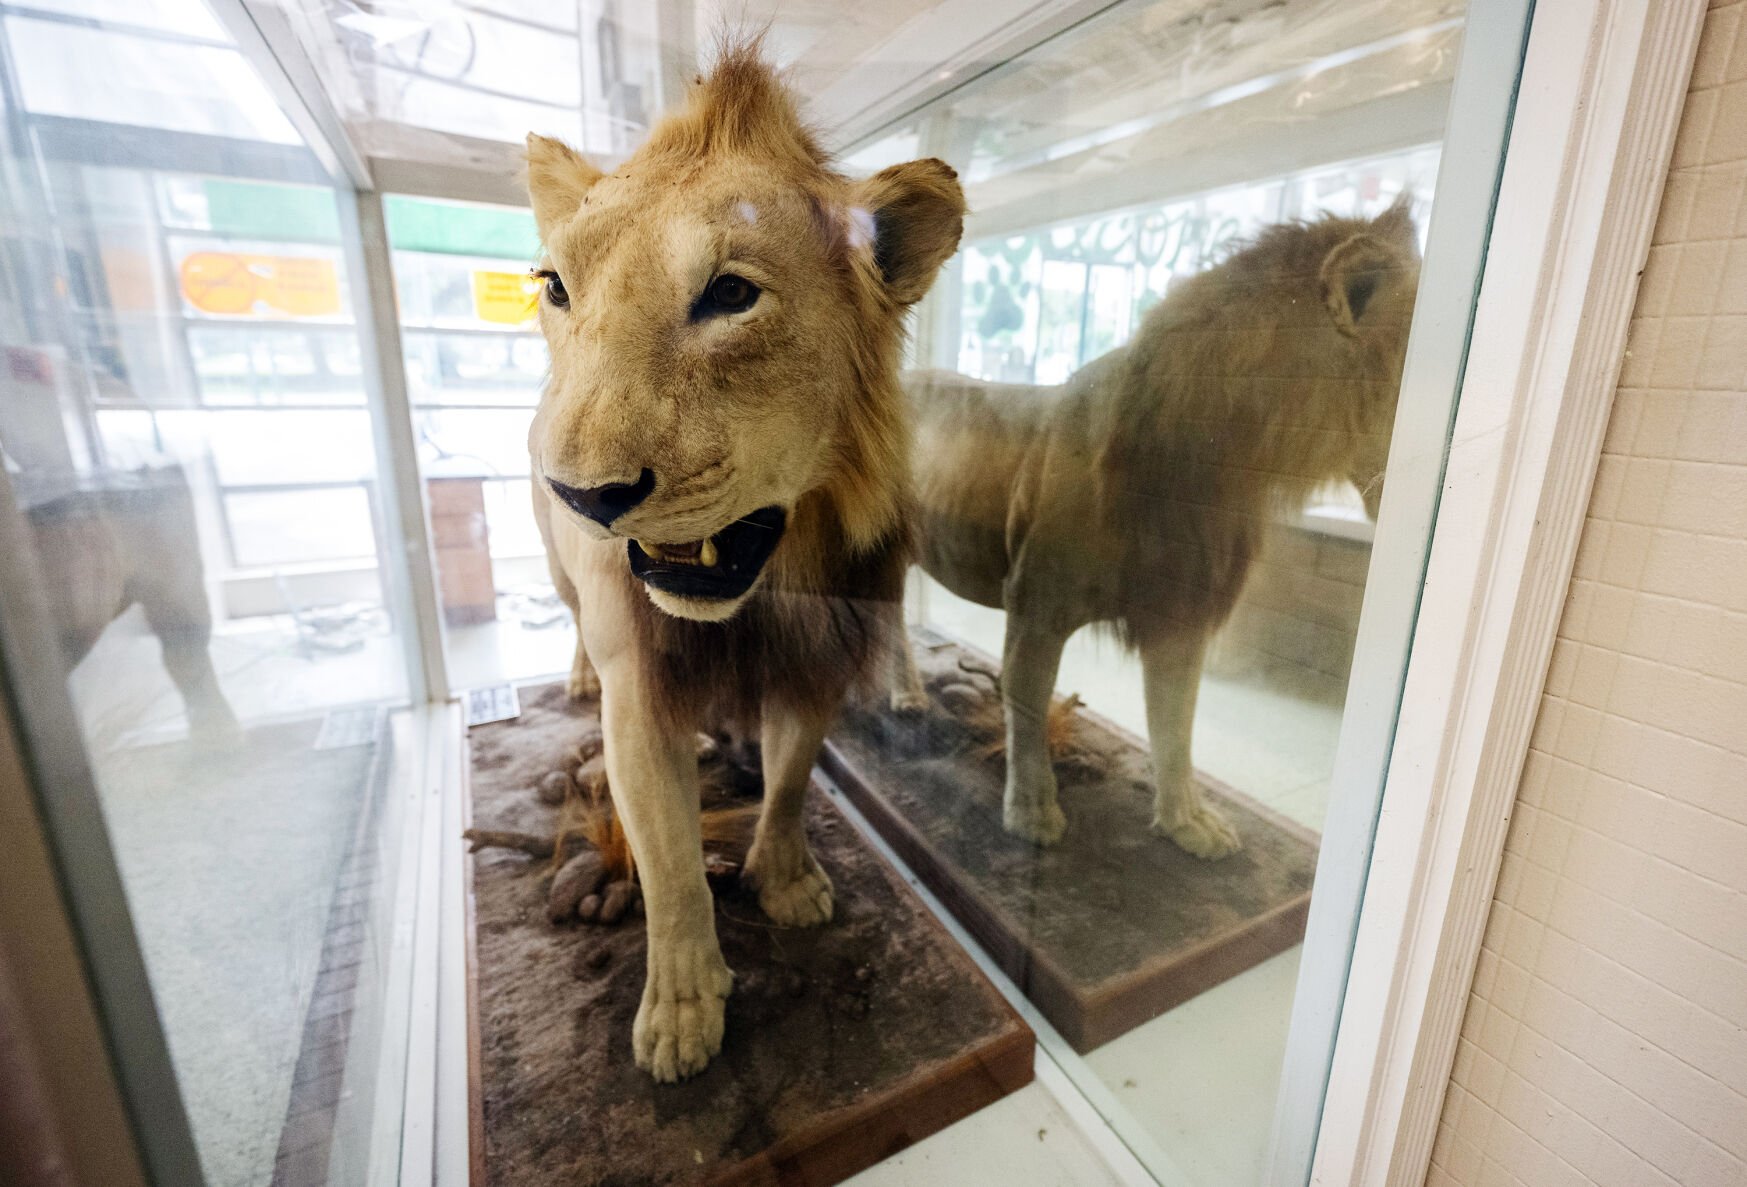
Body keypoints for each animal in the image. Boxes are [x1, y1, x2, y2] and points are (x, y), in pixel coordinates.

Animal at [524, 42, 964, 1081]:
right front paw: (683, 1012)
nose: (582, 494)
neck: (760, 588)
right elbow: (670, 868)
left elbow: (795, 778)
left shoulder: (816, 660)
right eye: (556, 287)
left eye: (731, 294)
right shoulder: (638, 694)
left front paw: (788, 882)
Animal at [899, 202, 1420, 853]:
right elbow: (1027, 705)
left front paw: (1188, 822)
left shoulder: (1182, 610)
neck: (1220, 473)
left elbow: (1175, 722)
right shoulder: (1036, 605)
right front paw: (1032, 812)